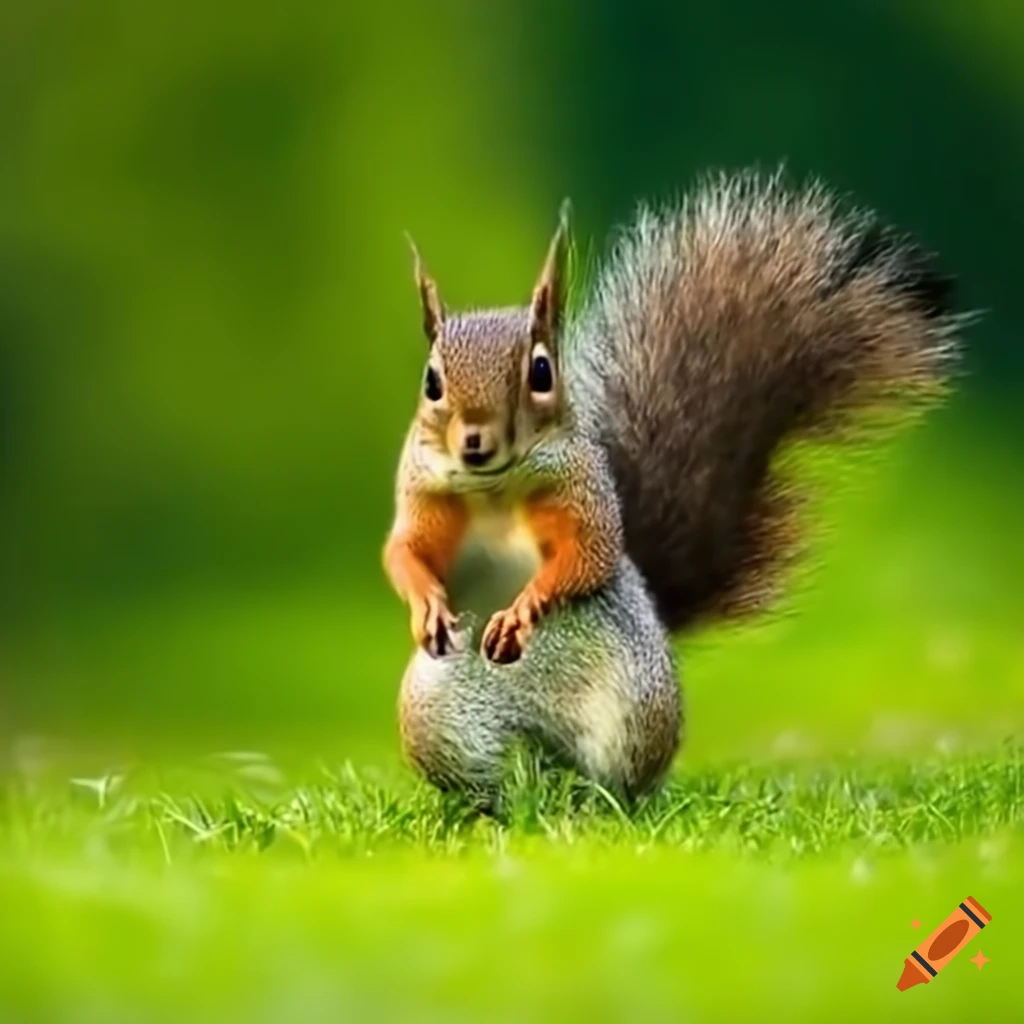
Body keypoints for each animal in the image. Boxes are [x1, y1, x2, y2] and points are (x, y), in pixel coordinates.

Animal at [384, 169, 963, 802]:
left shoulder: (583, 490)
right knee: (488, 777)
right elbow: (405, 550)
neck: (493, 487)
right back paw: (496, 803)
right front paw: (426, 604)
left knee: (618, 779)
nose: (476, 441)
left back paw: (595, 803)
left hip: (630, 711)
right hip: (438, 716)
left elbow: (588, 555)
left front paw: (523, 608)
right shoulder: (422, 491)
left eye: (541, 371)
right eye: (432, 381)